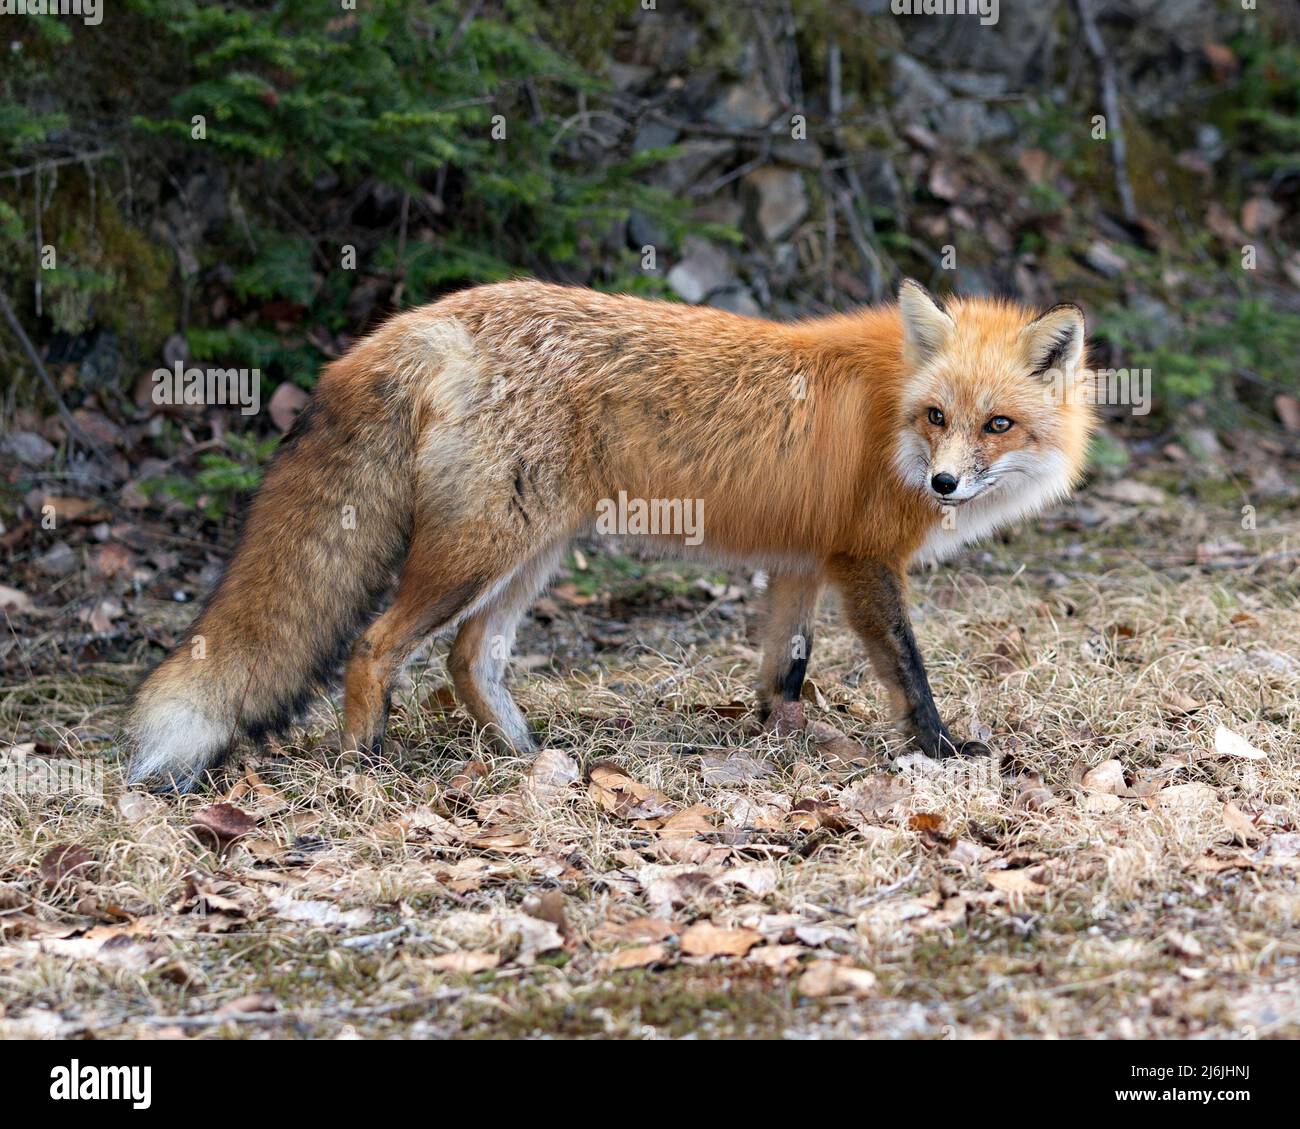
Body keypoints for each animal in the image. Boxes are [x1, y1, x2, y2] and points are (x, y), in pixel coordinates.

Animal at [125, 278, 1094, 790]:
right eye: (937, 417)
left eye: (997, 424)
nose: (943, 482)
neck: (890, 411)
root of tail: (421, 321)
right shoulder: (864, 560)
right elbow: (908, 669)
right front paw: (942, 750)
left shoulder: (802, 563)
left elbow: (784, 667)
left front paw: (779, 739)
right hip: (482, 550)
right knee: (373, 646)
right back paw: (366, 762)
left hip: (531, 551)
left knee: (468, 657)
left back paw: (527, 757)